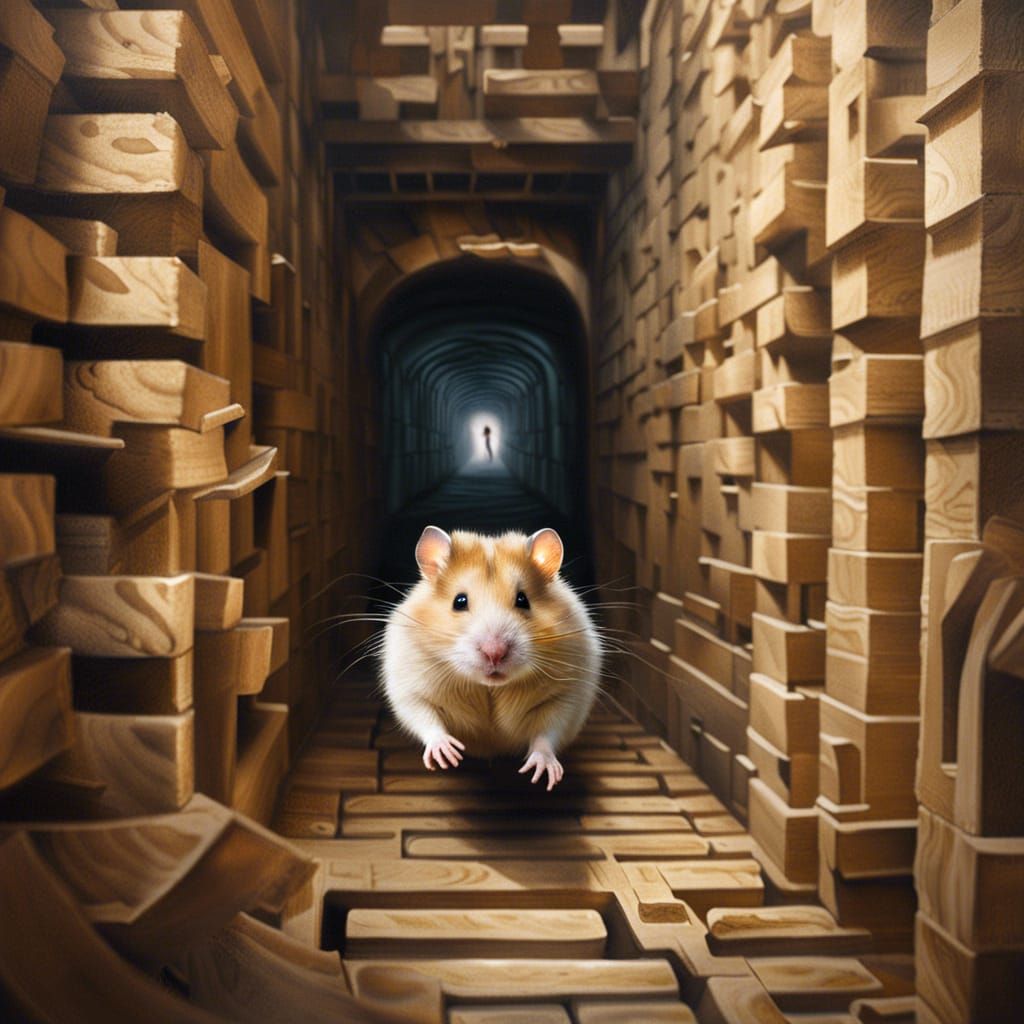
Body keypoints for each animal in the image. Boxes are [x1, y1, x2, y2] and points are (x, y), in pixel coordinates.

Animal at [382, 525, 601, 790]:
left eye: (523, 599)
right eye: (459, 601)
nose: (494, 652)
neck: (490, 687)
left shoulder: (567, 696)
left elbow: (548, 729)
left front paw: (541, 771)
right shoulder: (409, 686)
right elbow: (425, 716)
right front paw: (449, 754)